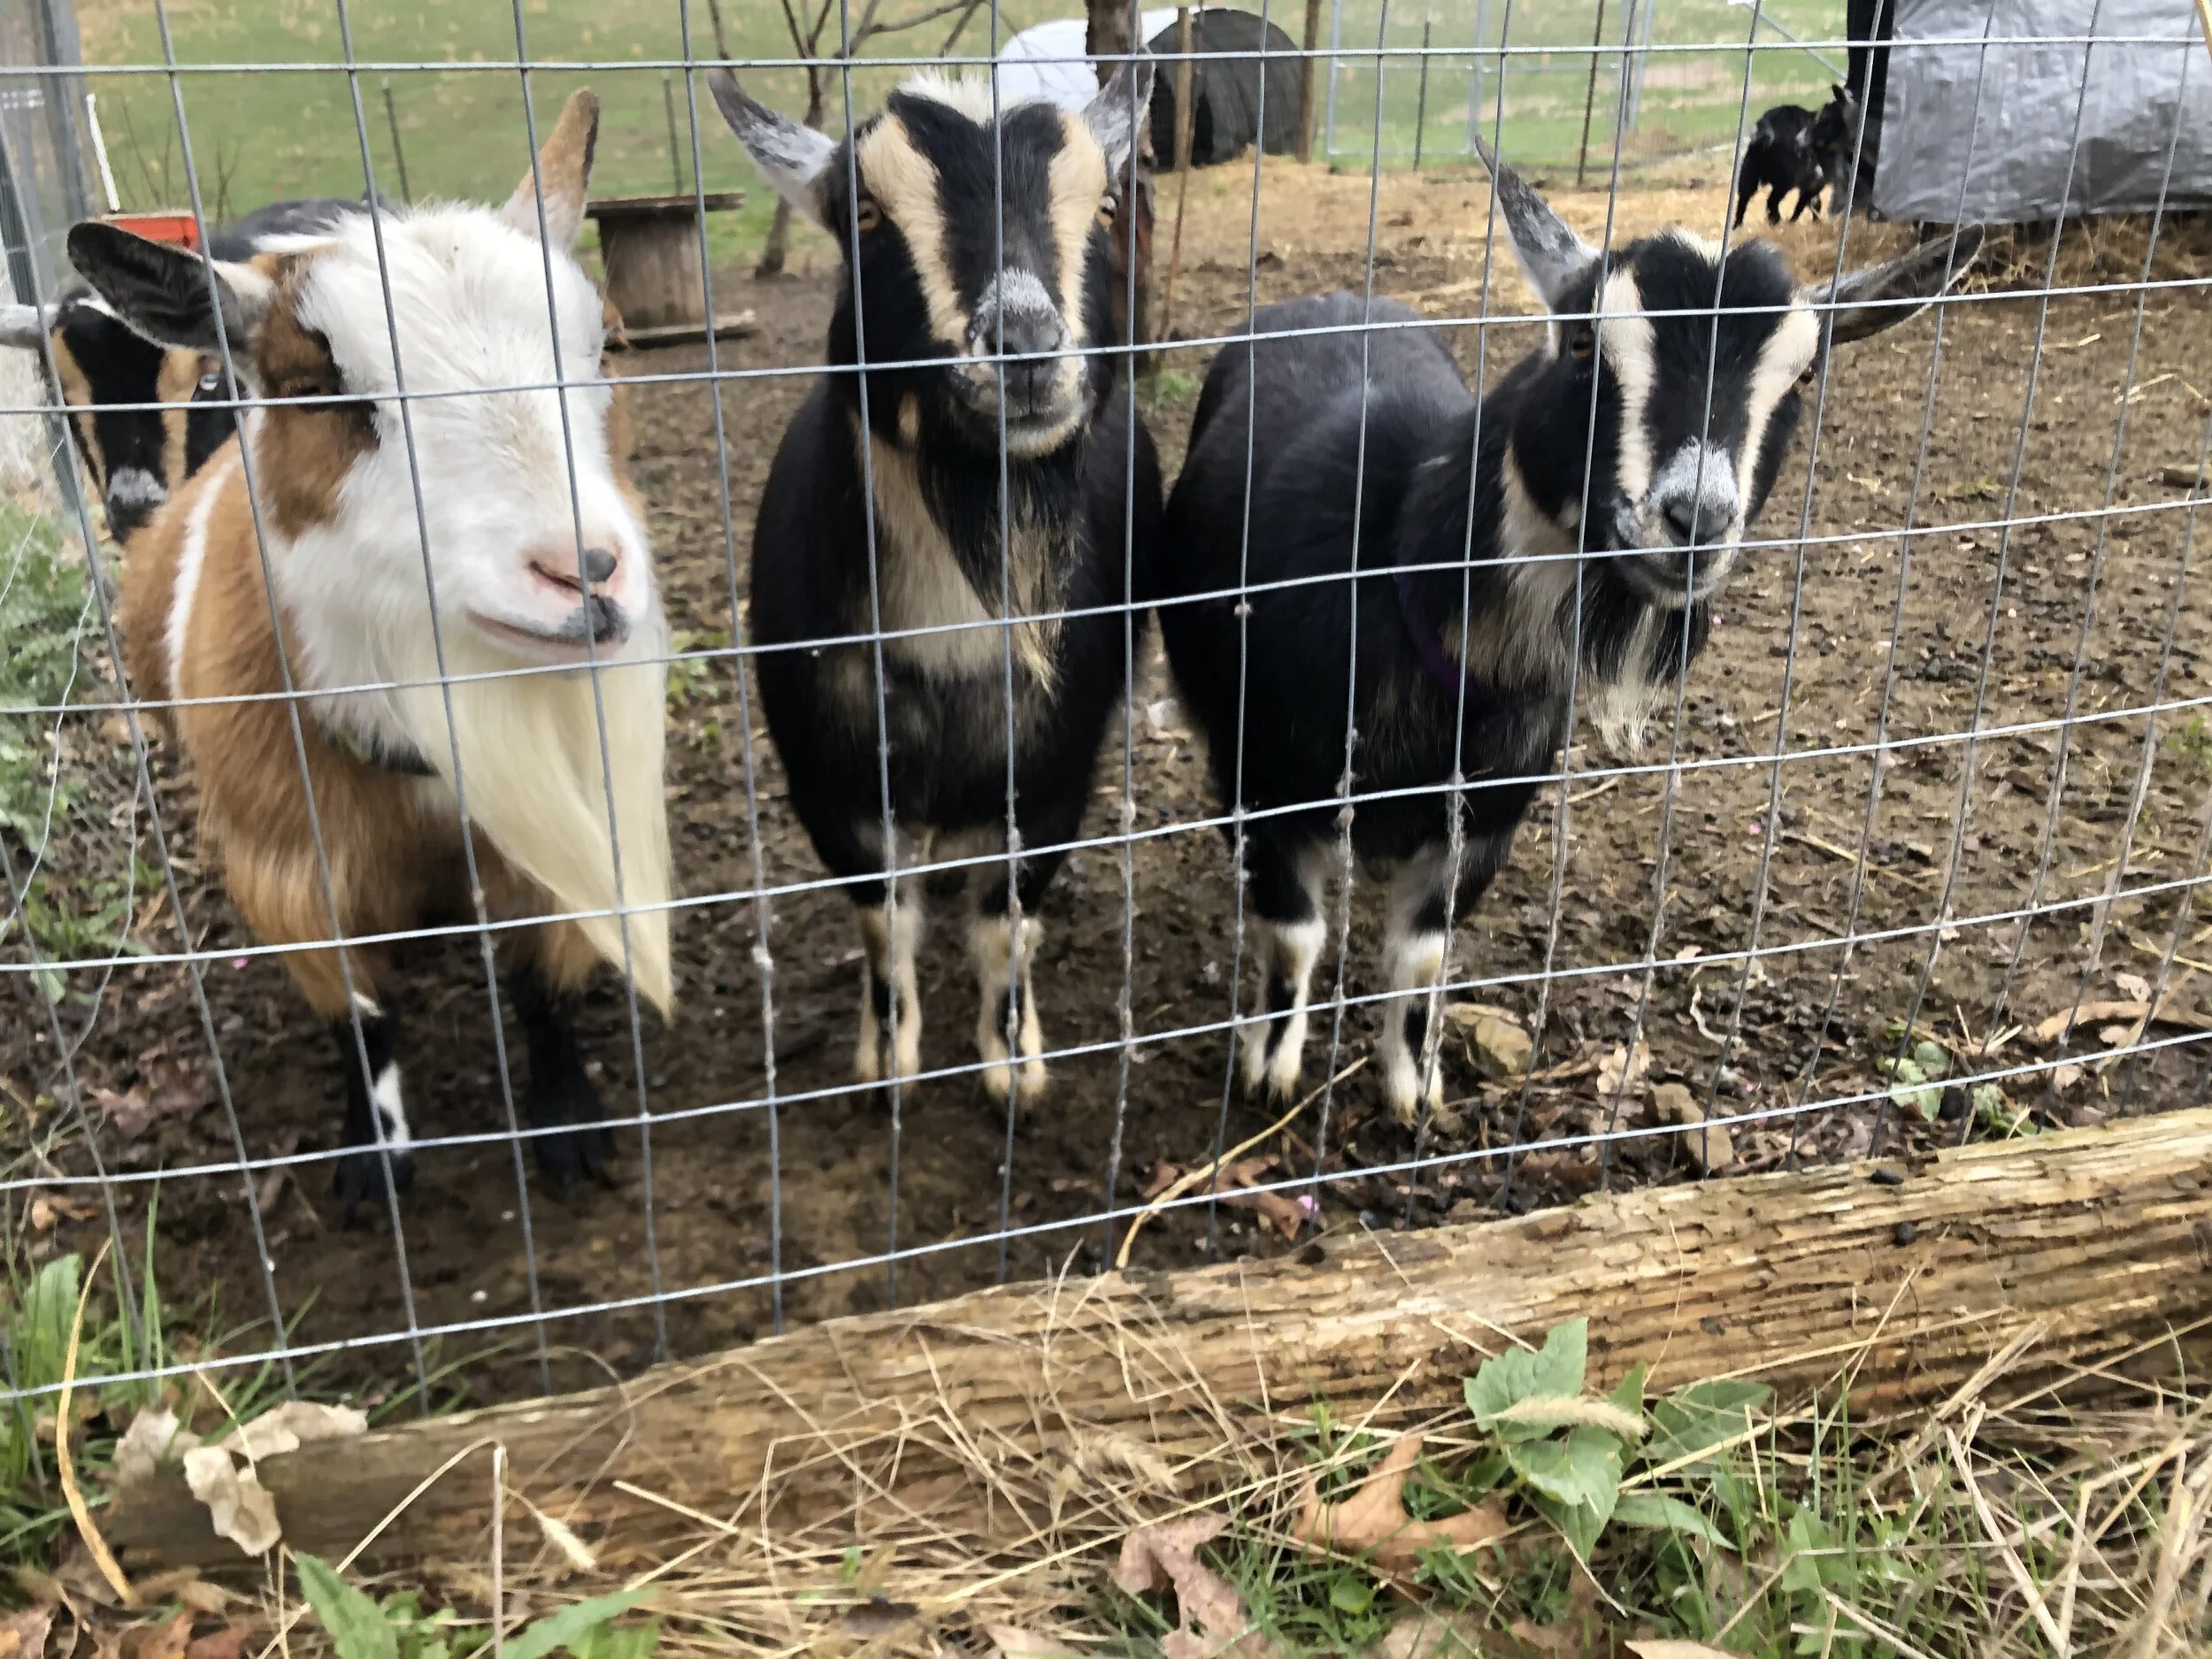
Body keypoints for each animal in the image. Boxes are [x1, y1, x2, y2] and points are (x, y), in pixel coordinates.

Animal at [69, 92, 673, 1204]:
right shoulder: (288, 872)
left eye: (606, 343)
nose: (586, 574)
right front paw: (371, 1160)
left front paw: (569, 1128)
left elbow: (539, 984)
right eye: (317, 388)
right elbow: (358, 1018)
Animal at [711, 59, 1163, 1108]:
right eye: (865, 214)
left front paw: (1013, 1062)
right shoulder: (828, 771)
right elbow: (884, 918)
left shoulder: (1054, 764)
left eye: (1107, 203)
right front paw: (888, 1060)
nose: (1025, 346)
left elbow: (1005, 919)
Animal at [1158, 145, 1981, 1125]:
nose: (1693, 521)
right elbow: (1292, 934)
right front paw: (1269, 1071)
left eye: (1804, 377)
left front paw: (1412, 1085)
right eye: (1584, 344)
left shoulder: (1487, 817)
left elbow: (1422, 955)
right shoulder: (1257, 776)